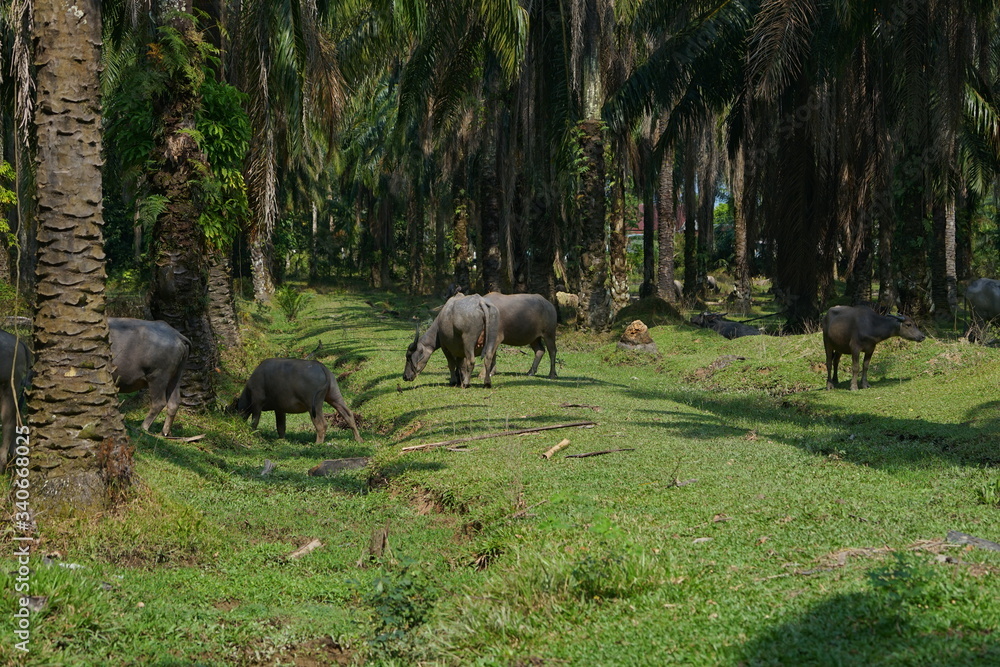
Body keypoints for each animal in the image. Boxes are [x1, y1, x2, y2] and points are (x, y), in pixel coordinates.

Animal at [229, 358, 361, 443]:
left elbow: (255, 422)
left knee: (321, 424)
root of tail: (321, 367)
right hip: (334, 395)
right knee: (348, 414)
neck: (248, 392)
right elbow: (281, 426)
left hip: (313, 404)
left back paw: (317, 444)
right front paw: (281, 439)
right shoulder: (279, 409)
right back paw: (359, 439)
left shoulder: (257, 402)